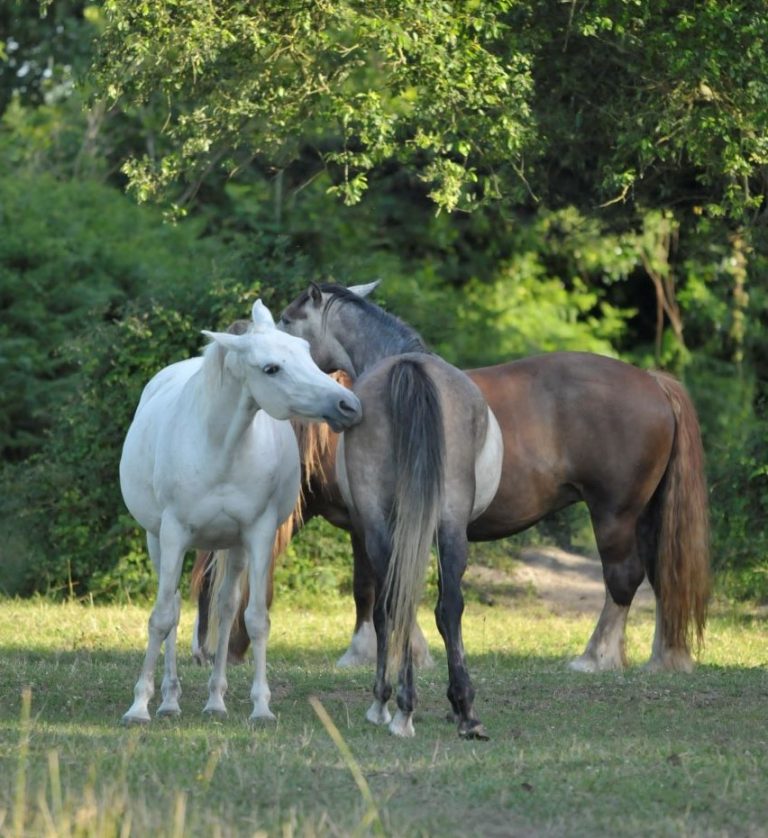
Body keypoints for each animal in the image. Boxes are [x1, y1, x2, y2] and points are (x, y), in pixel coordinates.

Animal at [118, 300, 362, 724]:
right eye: (271, 368)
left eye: (306, 352)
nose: (348, 405)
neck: (219, 445)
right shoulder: (173, 534)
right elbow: (161, 617)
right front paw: (139, 706)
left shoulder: (258, 535)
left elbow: (255, 619)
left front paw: (261, 707)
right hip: (157, 541)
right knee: (175, 609)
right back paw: (169, 699)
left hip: (232, 547)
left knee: (225, 606)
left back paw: (215, 701)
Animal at [275, 282, 710, 739]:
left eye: (287, 319)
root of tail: (653, 381)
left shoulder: (365, 526)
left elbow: (374, 598)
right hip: (630, 516)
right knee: (660, 576)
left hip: (614, 515)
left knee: (623, 579)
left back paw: (595, 658)